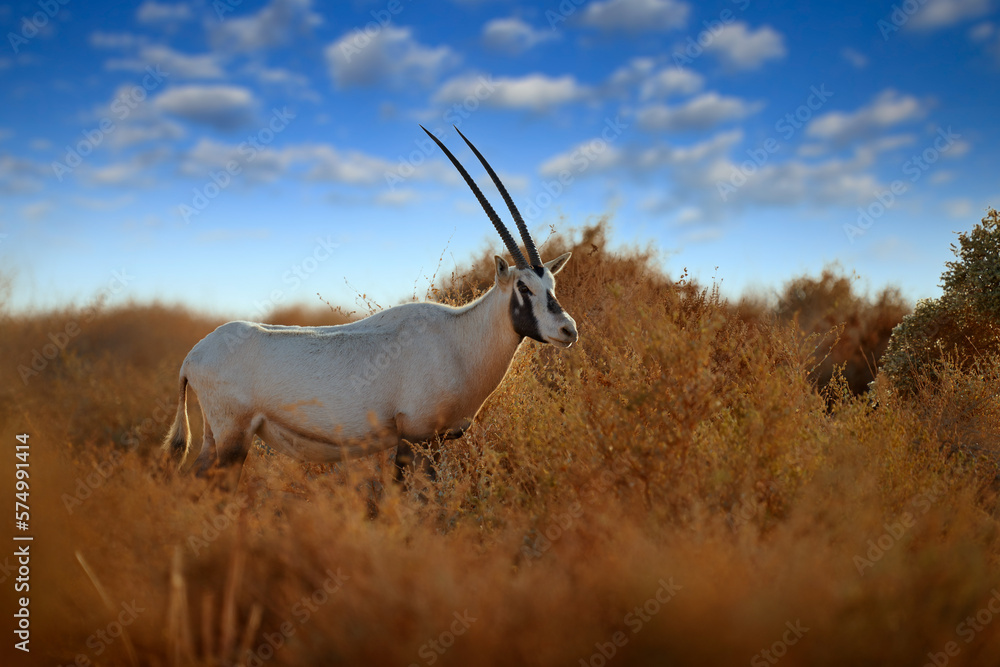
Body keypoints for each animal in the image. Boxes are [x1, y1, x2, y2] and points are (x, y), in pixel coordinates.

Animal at [163, 127, 578, 481]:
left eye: (551, 283)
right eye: (523, 287)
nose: (568, 330)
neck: (460, 338)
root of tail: (192, 357)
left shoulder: (435, 441)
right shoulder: (415, 438)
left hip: (217, 438)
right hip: (233, 438)